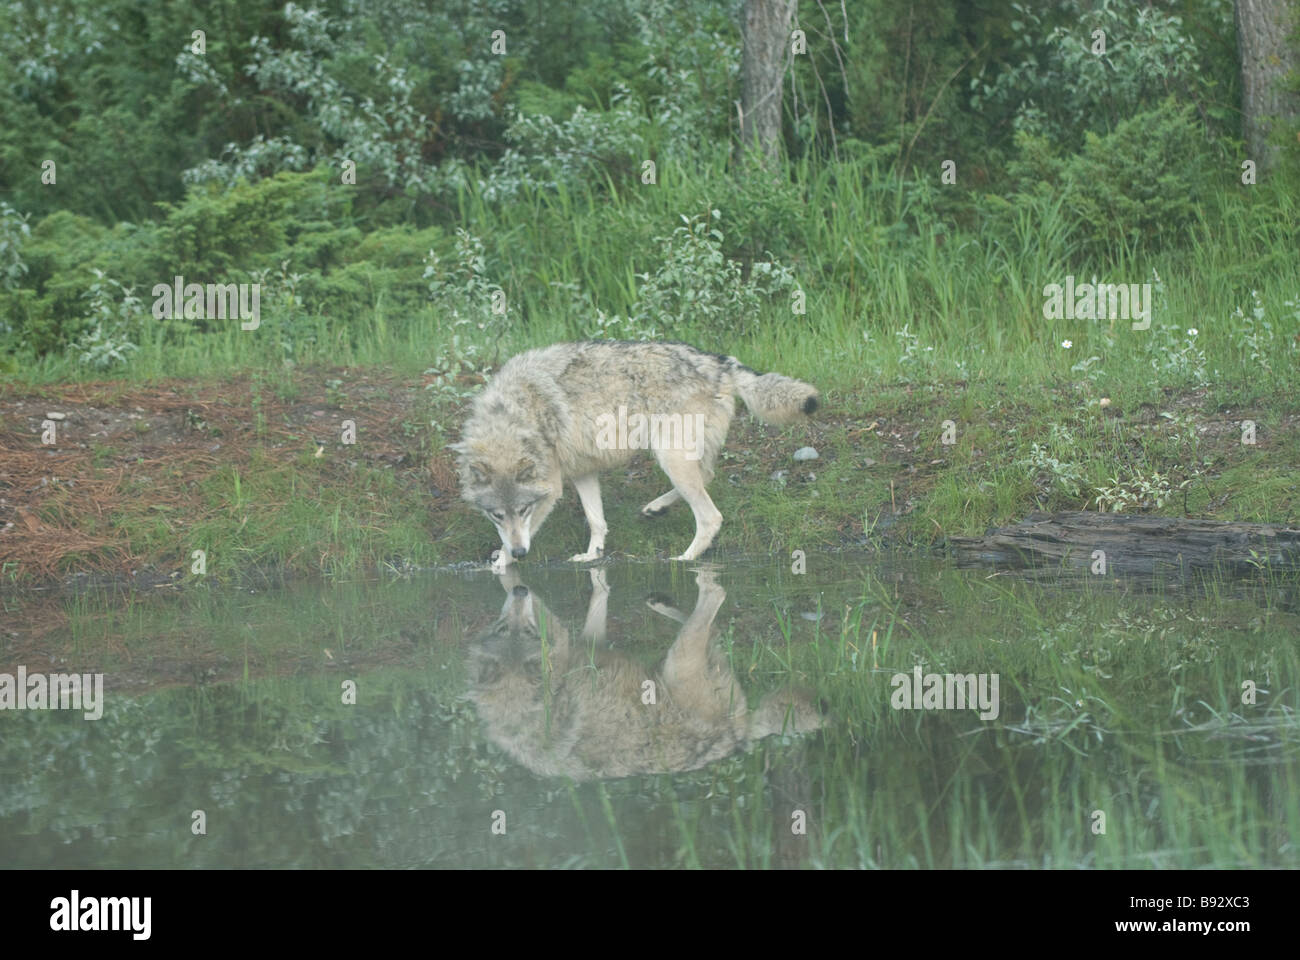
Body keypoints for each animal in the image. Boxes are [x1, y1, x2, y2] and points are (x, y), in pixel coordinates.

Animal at [451, 340, 819, 565]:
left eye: (523, 510)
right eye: (496, 515)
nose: (521, 553)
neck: (512, 418)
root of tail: (720, 361)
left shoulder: (552, 488)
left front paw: (501, 564)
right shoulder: (582, 471)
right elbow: (596, 520)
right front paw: (592, 555)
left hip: (669, 456)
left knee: (710, 516)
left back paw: (685, 559)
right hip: (679, 457)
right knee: (708, 477)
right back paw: (655, 508)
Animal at [466, 566, 825, 780]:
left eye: (525, 631)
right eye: (503, 628)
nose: (520, 592)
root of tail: (737, 739)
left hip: (677, 660)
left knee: (713, 608)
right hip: (679, 660)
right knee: (714, 607)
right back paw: (680, 592)